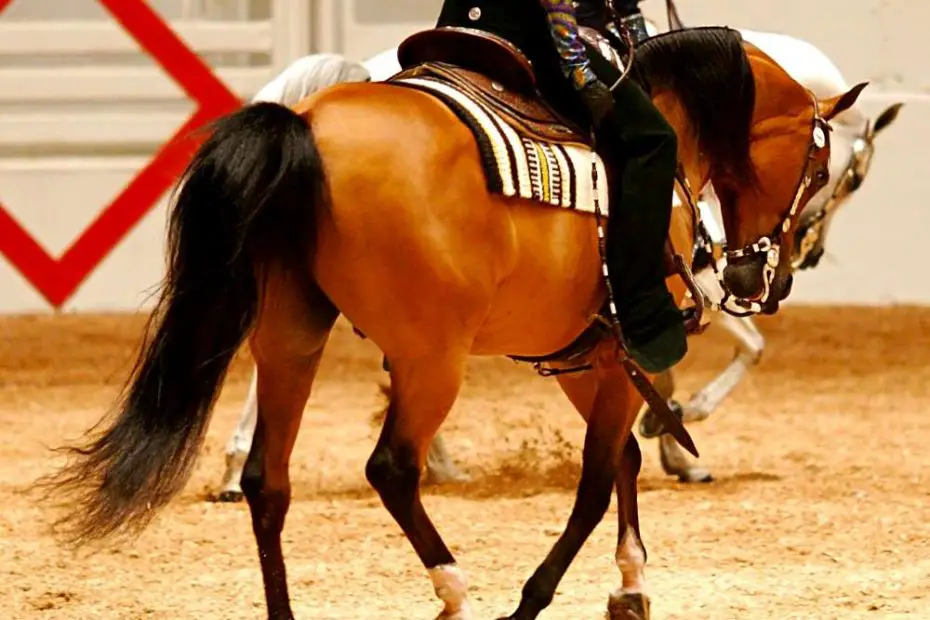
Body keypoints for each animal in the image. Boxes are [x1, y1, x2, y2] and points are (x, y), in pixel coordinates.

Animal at [214, 24, 901, 498]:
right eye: (839, 175)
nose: (786, 272)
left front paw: (669, 440)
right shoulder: (675, 285)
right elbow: (743, 349)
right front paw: (678, 428)